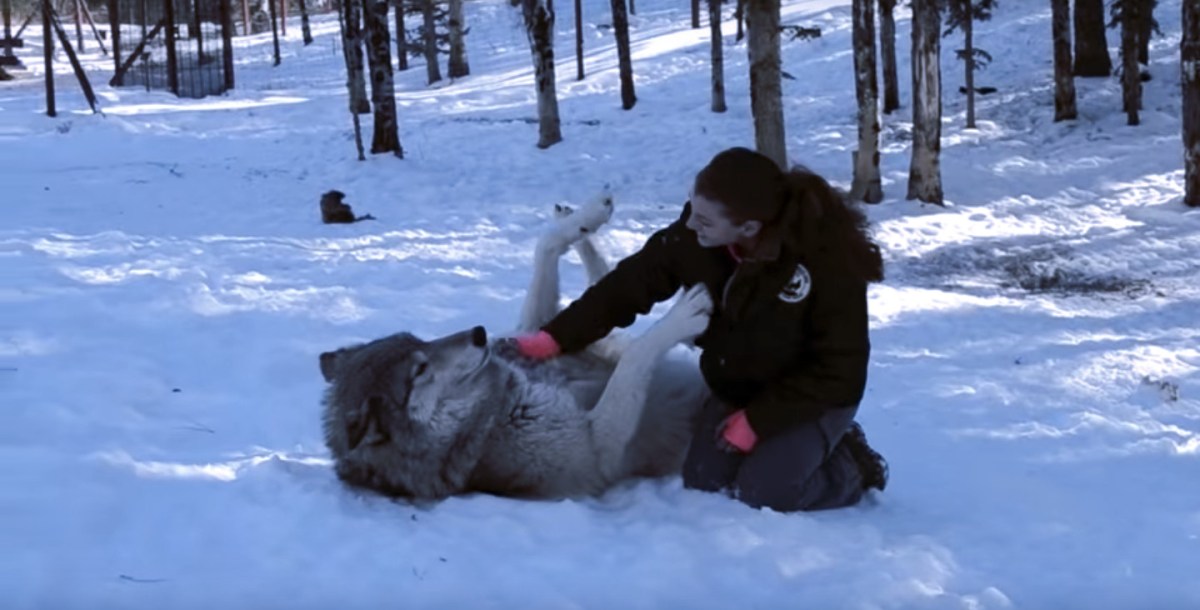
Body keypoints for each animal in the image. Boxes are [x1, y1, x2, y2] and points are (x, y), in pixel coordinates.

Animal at [318, 192, 714, 501]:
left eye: (419, 339)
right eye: (419, 370)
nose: (480, 334)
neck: (496, 402)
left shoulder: (536, 330)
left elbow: (546, 247)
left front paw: (582, 218)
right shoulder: (598, 447)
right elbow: (638, 354)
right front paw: (685, 315)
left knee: (603, 281)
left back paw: (575, 217)